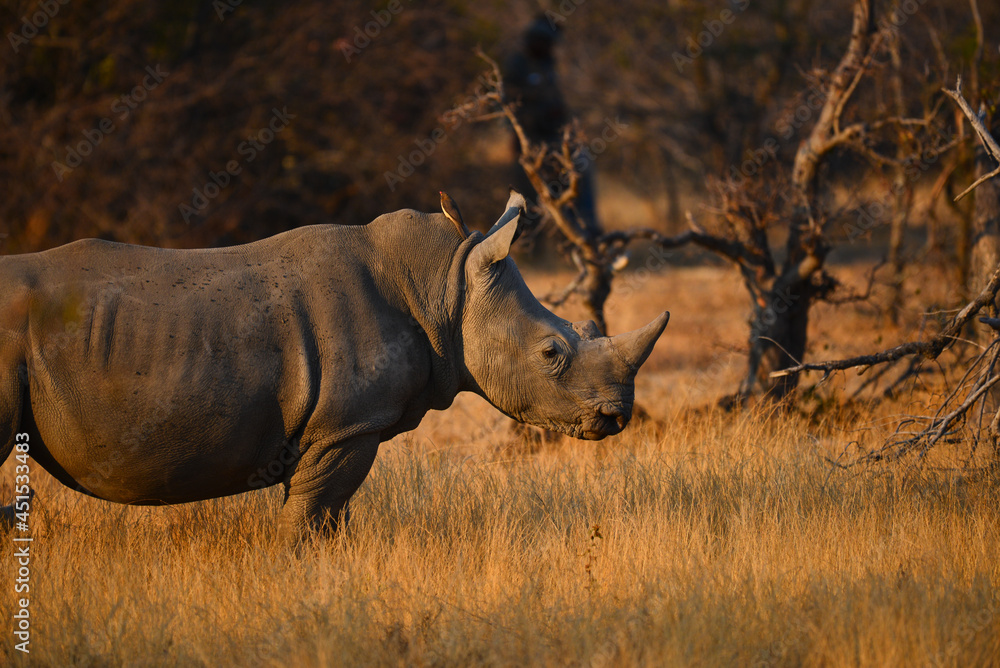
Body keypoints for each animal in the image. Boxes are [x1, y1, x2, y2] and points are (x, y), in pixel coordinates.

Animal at [0, 192, 668, 540]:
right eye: (552, 354)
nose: (618, 416)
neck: (445, 287)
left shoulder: (336, 427)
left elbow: (328, 512)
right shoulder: (346, 426)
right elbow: (315, 512)